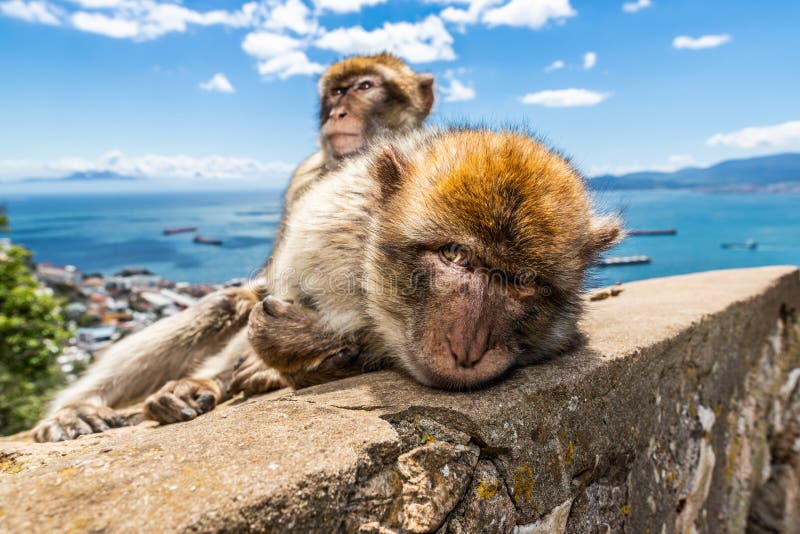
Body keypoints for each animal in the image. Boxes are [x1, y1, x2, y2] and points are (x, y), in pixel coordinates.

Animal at [32, 54, 435, 442]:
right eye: (336, 93)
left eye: (364, 87)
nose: (338, 112)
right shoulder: (305, 178)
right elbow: (277, 281)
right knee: (226, 303)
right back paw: (81, 408)